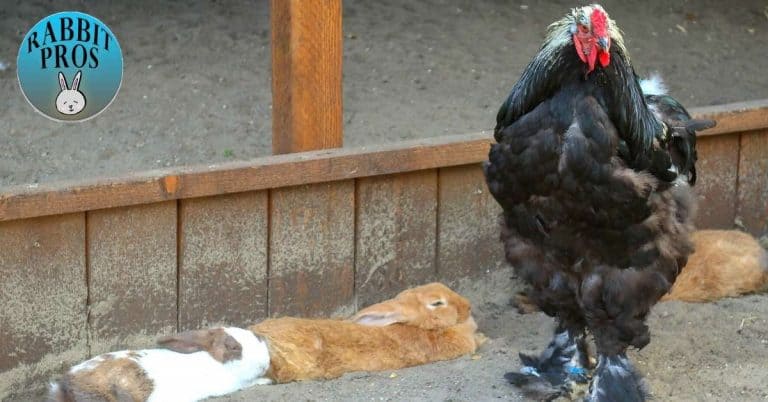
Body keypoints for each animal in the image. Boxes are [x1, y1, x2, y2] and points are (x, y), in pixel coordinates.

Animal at [48, 327, 271, 402]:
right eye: (233, 347)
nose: (265, 362)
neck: (213, 360)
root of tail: (64, 387)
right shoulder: (232, 384)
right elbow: (250, 383)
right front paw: (266, 380)